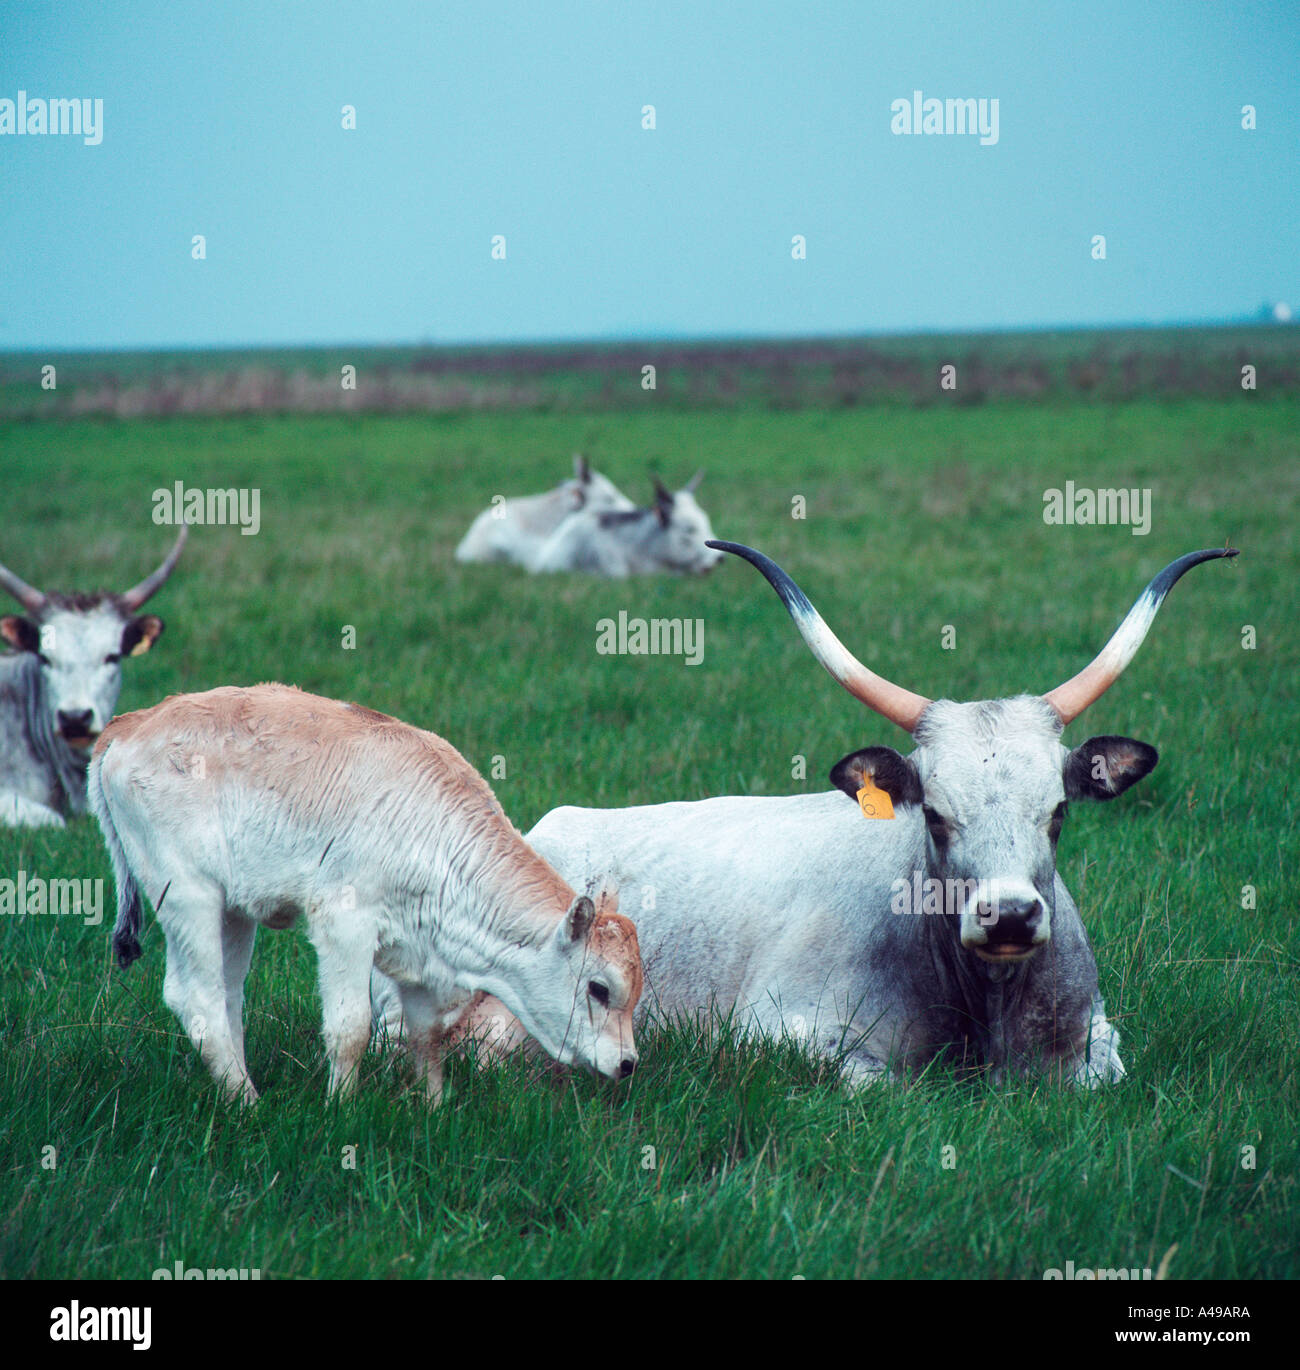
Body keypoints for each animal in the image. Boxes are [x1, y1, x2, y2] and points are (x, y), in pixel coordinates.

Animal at [88, 683, 643, 1105]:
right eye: (599, 988)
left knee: (228, 997)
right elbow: (350, 1027)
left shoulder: (420, 953)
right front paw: (342, 1106)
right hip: (188, 895)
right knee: (196, 998)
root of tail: (133, 722)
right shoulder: (344, 925)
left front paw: (434, 1107)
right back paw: (248, 1103)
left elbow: (427, 1034)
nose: (628, 1063)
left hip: (234, 912)